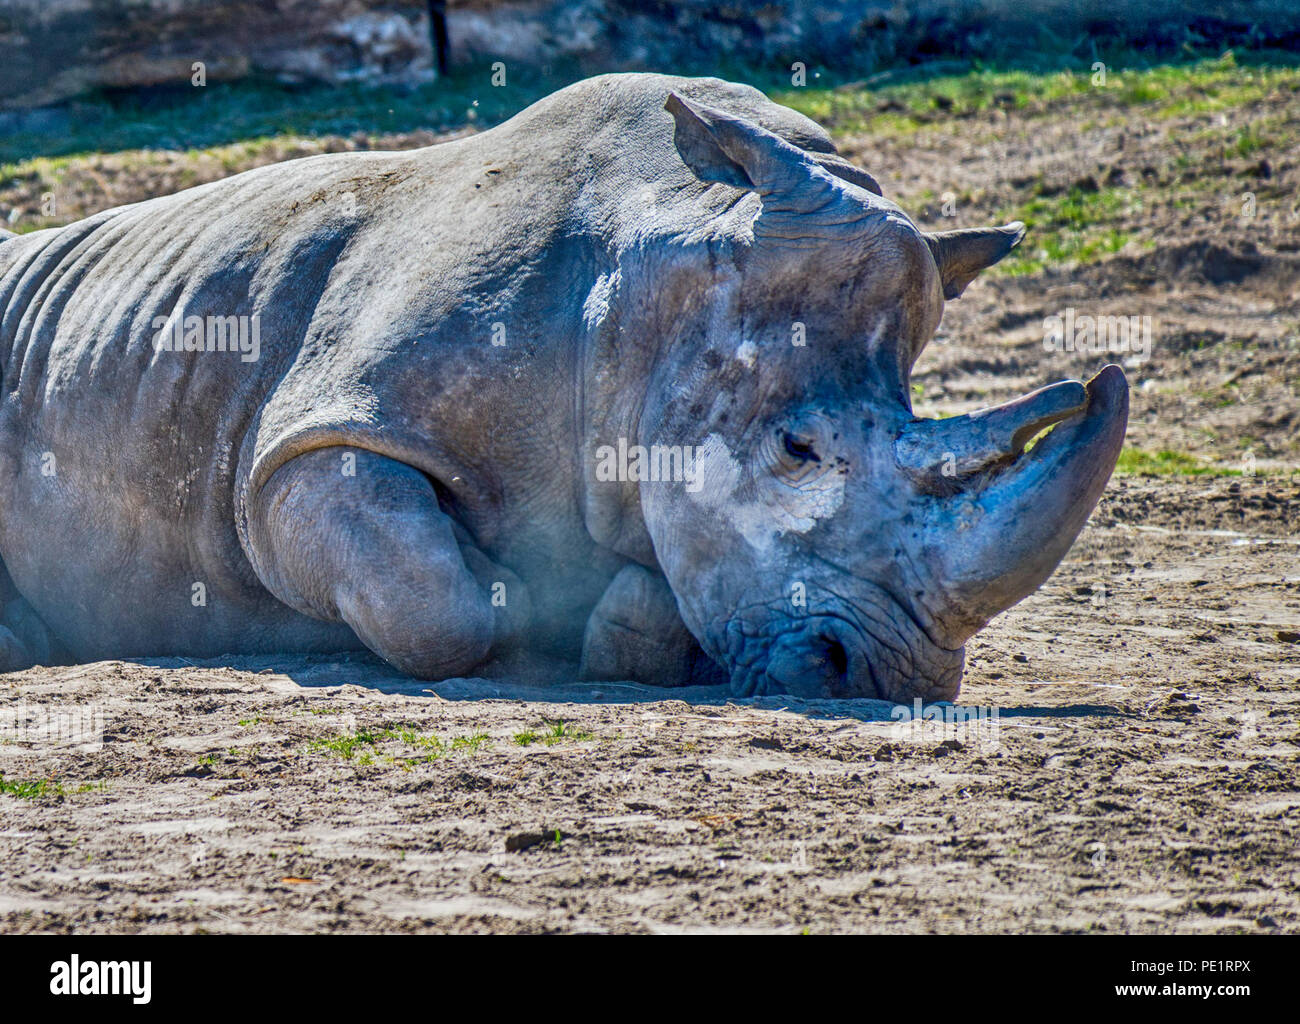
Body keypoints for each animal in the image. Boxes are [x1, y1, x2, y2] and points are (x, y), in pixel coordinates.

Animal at [0, 73, 1127, 701]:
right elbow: (434, 602)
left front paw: (617, 619)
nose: (891, 679)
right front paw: (524, 612)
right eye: (795, 450)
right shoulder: (319, 437)